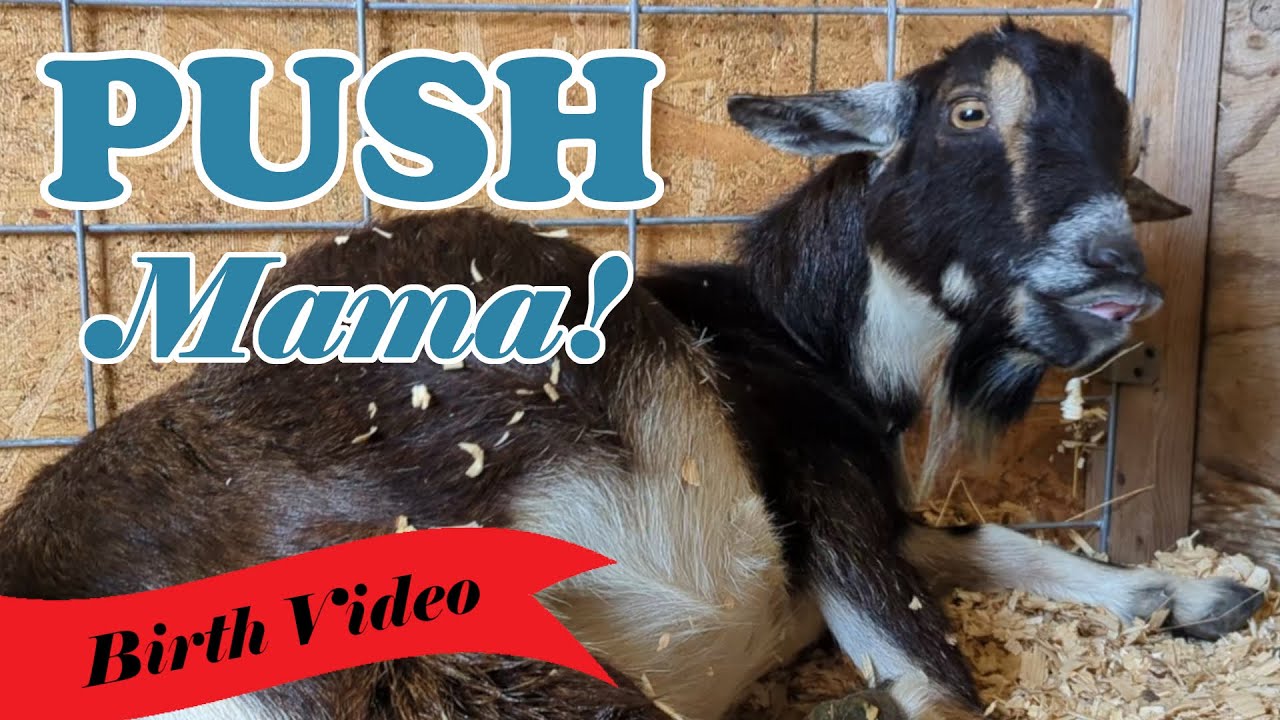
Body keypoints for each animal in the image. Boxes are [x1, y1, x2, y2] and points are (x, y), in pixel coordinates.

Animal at [0, 23, 1264, 720]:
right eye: (965, 111)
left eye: (1119, 136)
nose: (1117, 284)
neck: (790, 335)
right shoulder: (830, 500)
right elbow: (941, 674)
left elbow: (982, 538)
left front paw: (1191, 596)